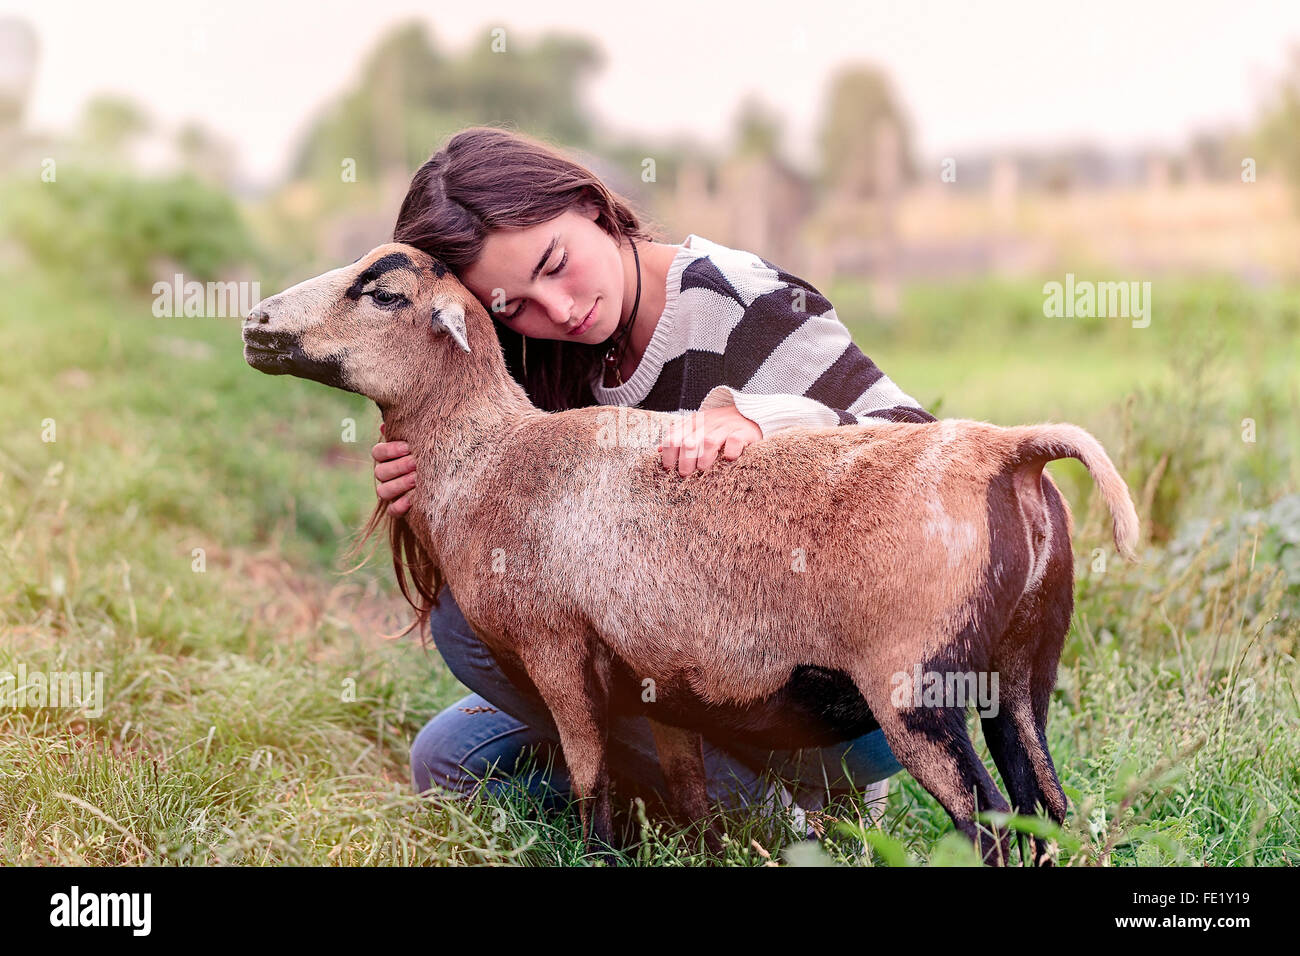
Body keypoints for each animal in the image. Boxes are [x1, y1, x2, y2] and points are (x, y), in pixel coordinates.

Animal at [242, 243, 1141, 866]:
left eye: (385, 292)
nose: (254, 327)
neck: (489, 455)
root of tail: (1010, 452)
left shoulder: (557, 649)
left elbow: (592, 780)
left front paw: (600, 857)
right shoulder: (659, 682)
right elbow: (687, 792)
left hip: (915, 685)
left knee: (988, 826)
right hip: (1023, 671)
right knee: (1045, 809)